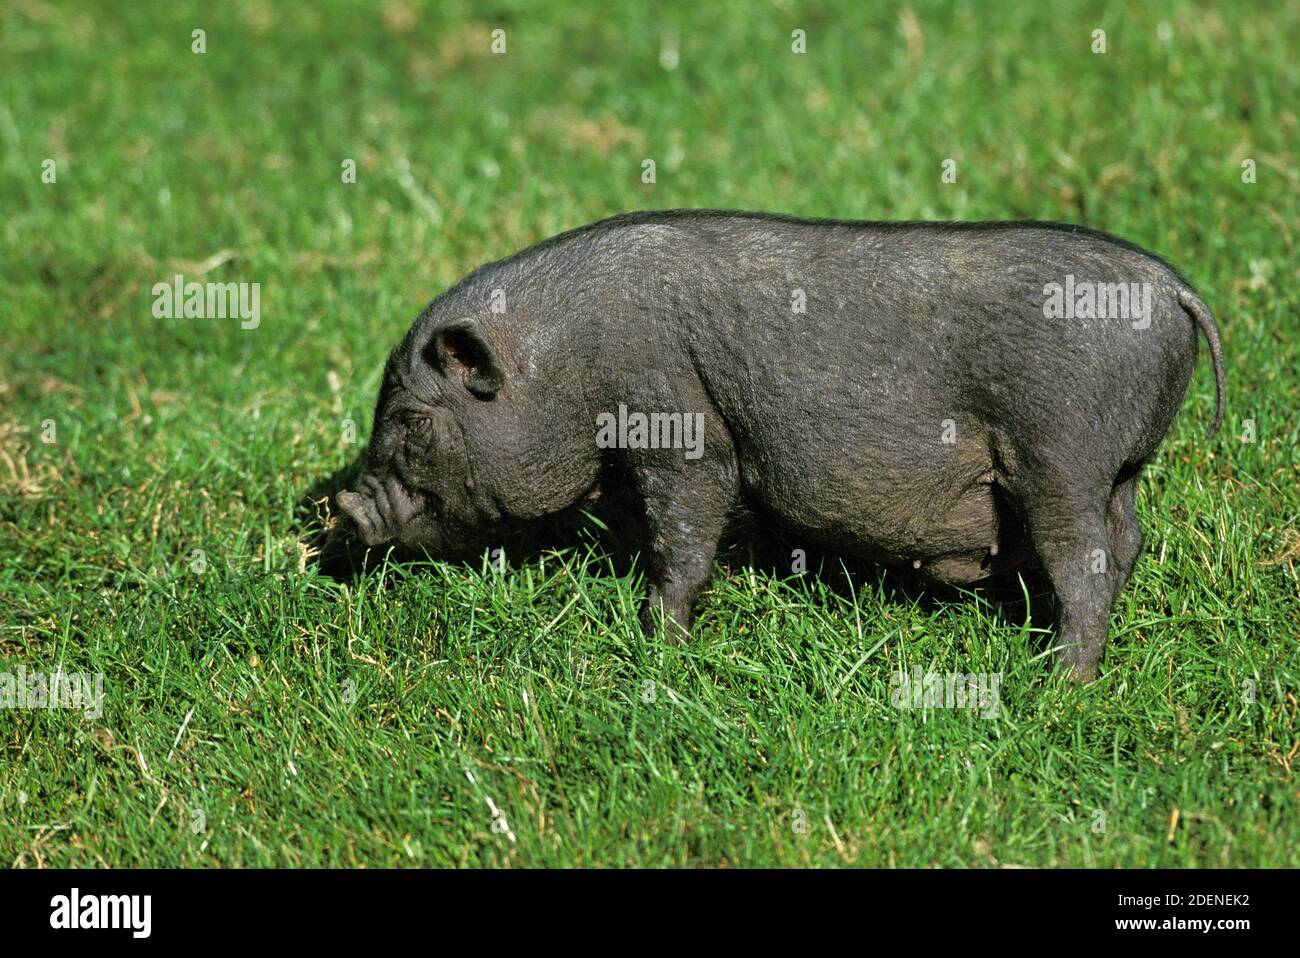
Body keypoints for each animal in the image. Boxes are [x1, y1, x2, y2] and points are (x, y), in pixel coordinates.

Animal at [336, 211, 1225, 682]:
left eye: (412, 422)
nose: (342, 510)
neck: (566, 364)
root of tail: (1174, 289)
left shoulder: (679, 422)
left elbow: (685, 528)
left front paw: (659, 645)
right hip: (1117, 468)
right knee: (1128, 538)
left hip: (1059, 456)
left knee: (1085, 561)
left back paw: (1057, 680)